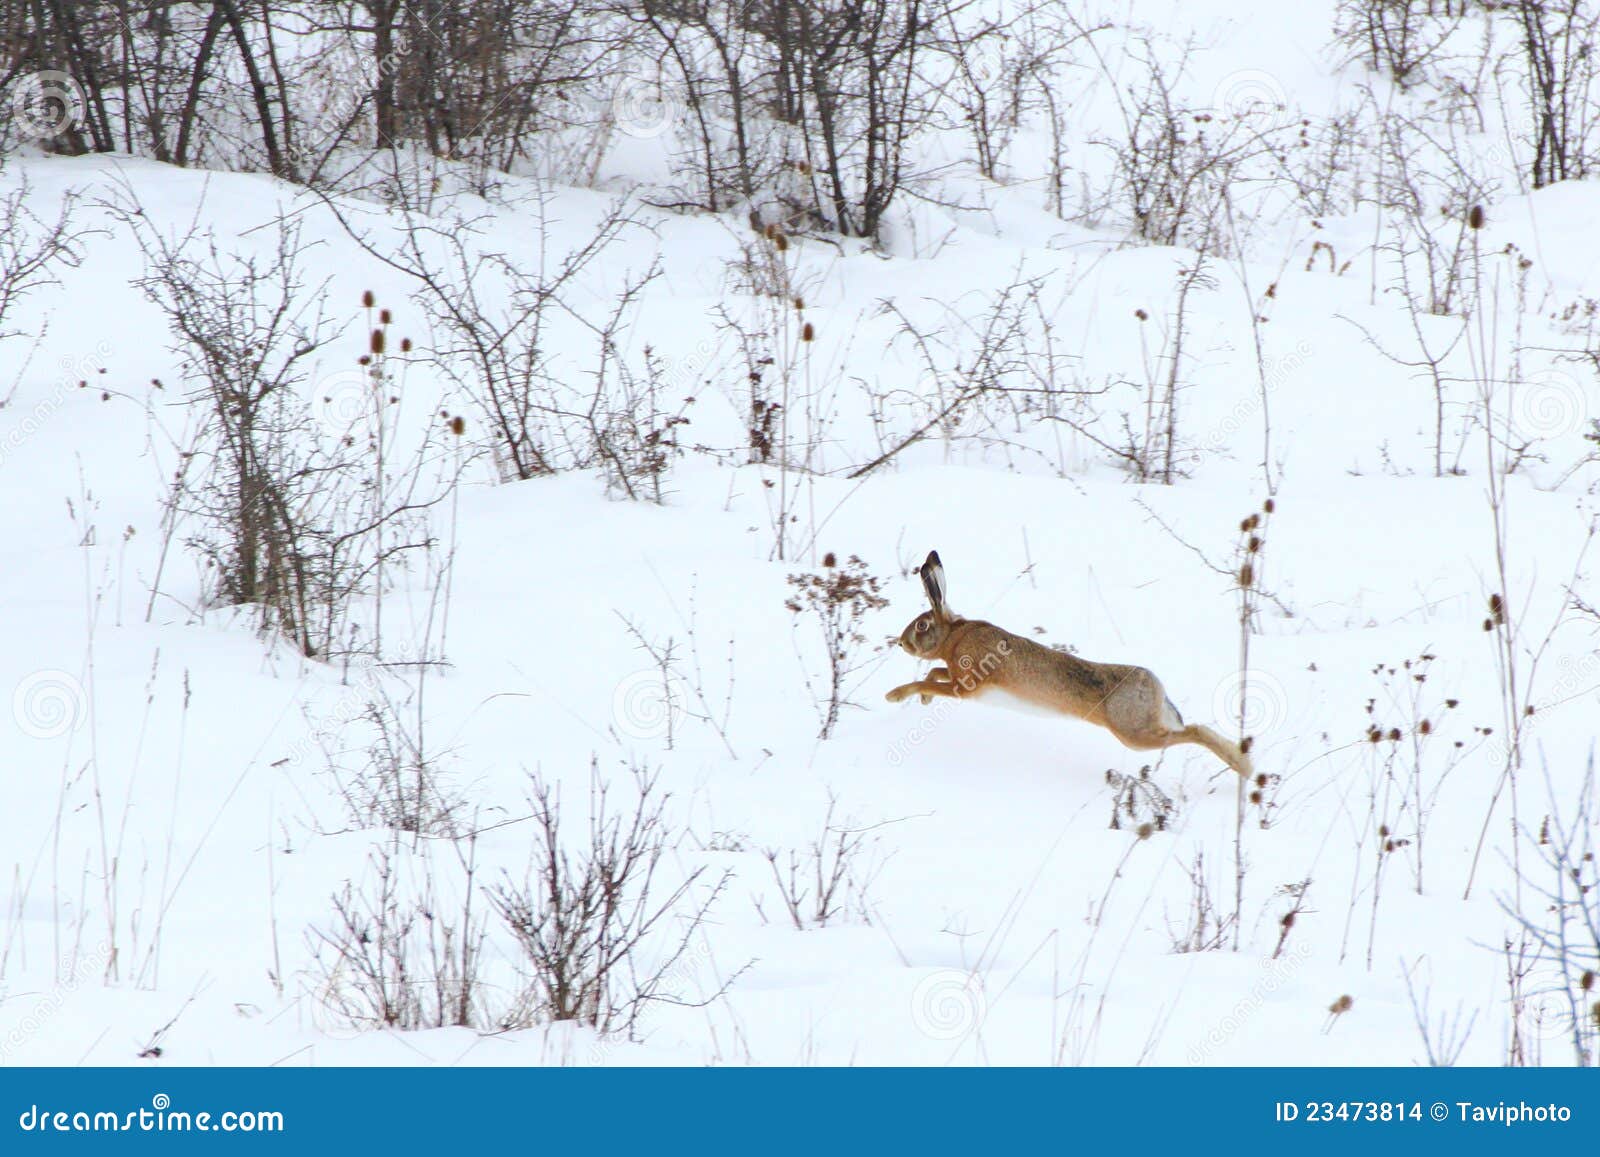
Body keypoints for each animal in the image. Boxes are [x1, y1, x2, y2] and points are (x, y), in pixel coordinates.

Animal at [885, 550, 1253, 778]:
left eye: (922, 625)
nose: (901, 643)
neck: (955, 636)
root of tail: (1154, 686)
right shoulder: (956, 678)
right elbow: (934, 673)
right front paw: (923, 699)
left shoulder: (966, 687)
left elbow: (927, 679)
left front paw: (896, 695)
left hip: (1133, 734)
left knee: (1195, 732)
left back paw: (1244, 767)